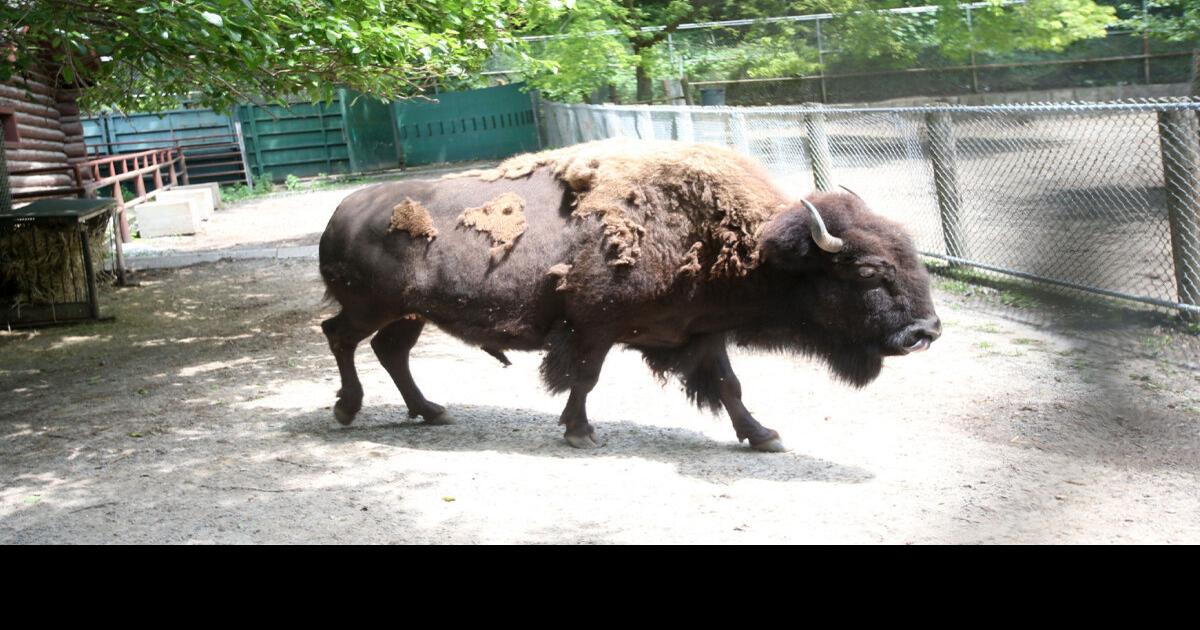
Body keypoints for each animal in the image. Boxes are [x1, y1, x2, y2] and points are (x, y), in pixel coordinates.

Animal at [318, 139, 941, 451]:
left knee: (390, 352)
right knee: (341, 336)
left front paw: (764, 436)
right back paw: (348, 410)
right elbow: (585, 377)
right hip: (372, 307)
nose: (926, 331)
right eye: (867, 272)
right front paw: (580, 433)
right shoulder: (594, 327)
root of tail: (342, 211)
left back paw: (432, 412)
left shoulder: (701, 334)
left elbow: (729, 385)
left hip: (410, 314)